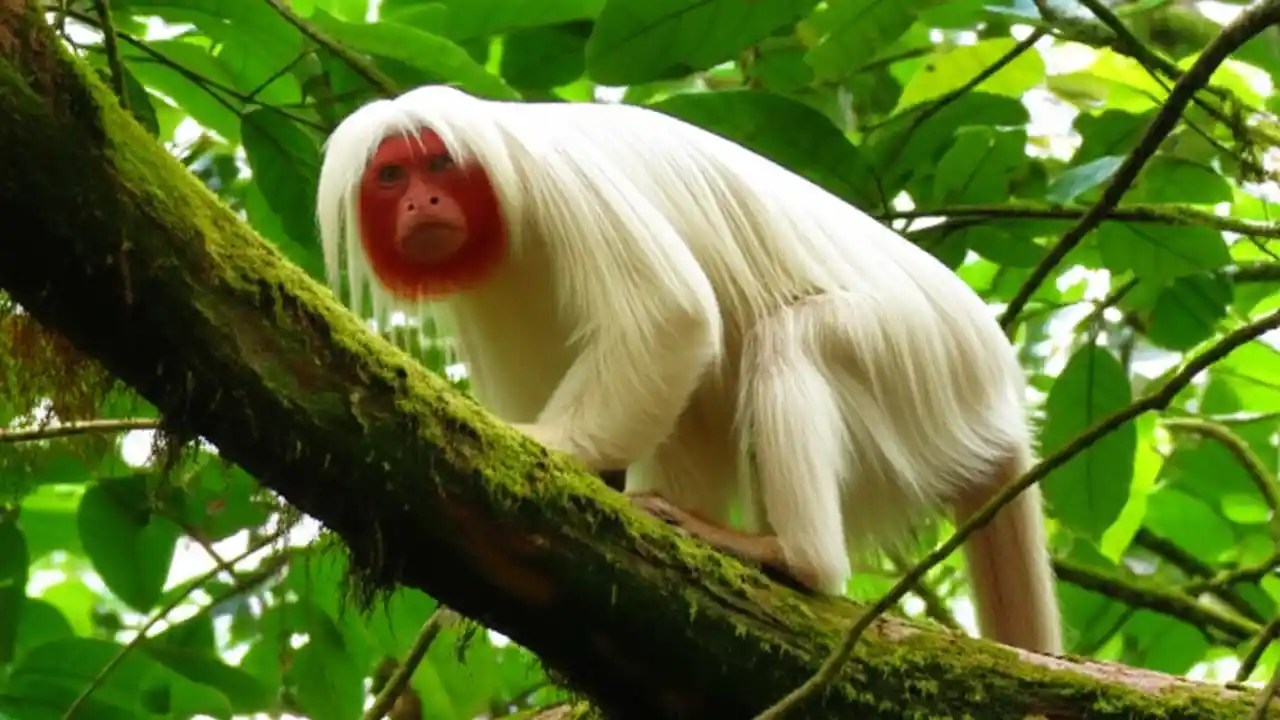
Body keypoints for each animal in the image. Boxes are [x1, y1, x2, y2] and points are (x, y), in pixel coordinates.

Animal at [315, 85, 1062, 655]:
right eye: (392, 179)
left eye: (438, 166)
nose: (423, 204)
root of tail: (999, 392)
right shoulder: (490, 294)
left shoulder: (555, 180)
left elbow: (669, 314)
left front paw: (551, 447)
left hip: (926, 357)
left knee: (790, 339)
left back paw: (797, 558)